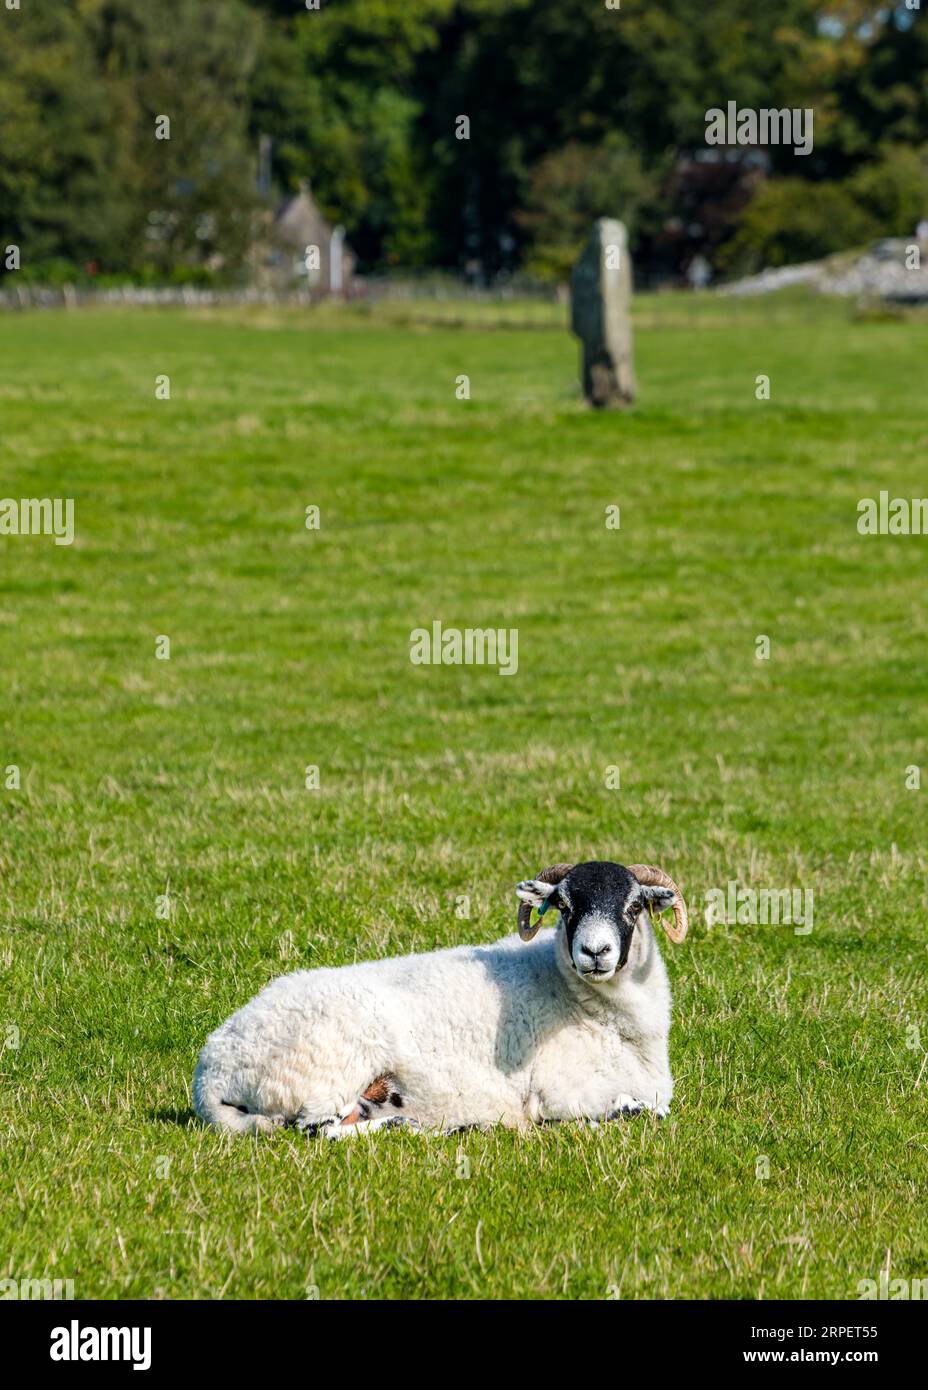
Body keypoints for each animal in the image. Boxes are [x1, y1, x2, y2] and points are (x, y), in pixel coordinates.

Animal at [192, 860, 688, 1138]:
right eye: (565, 906)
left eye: (634, 906)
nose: (595, 951)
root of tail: (210, 1073)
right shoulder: (560, 1091)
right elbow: (648, 1111)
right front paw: (607, 1116)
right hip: (324, 1072)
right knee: (317, 1129)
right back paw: (411, 1128)